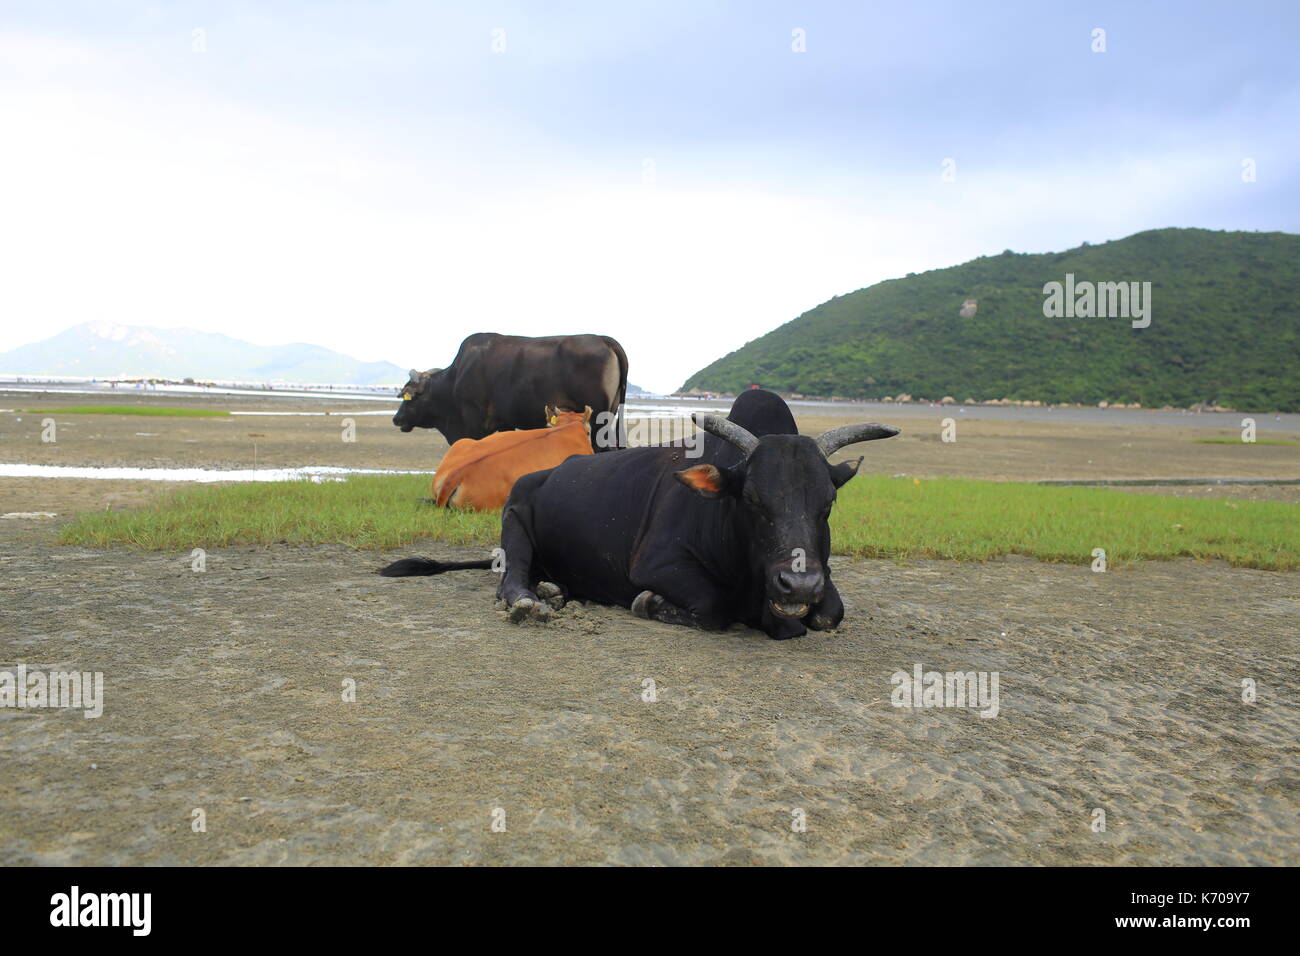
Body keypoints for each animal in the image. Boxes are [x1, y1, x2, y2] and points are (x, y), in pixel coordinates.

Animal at [392, 333, 628, 451]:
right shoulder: (505, 421)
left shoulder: (472, 420)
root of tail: (603, 339)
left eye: (408, 397)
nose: (396, 418)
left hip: (598, 418)